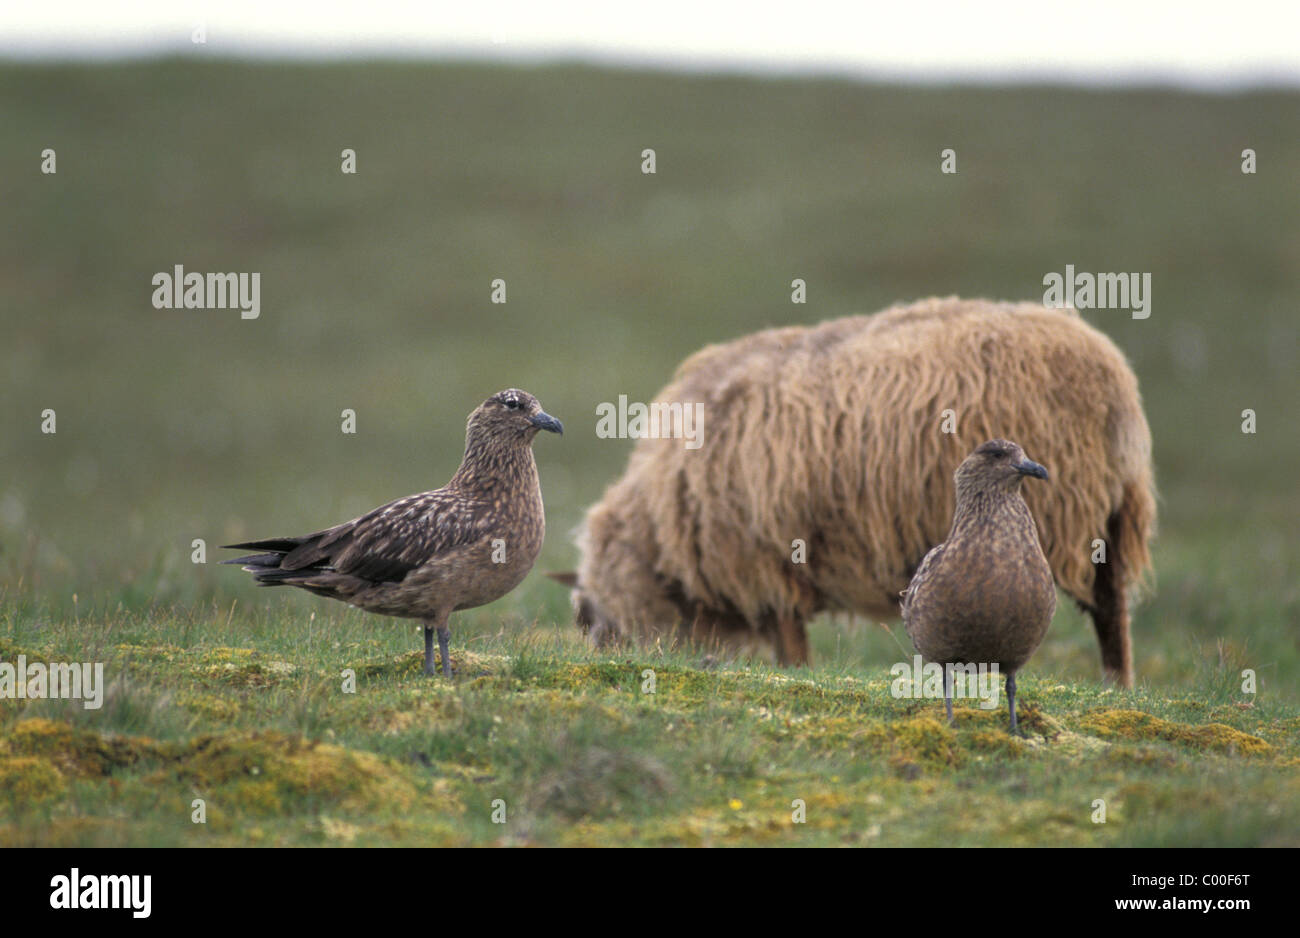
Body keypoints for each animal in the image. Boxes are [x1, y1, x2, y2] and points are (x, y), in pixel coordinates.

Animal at [553, 297, 1156, 687]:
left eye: (590, 621)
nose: (606, 663)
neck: (658, 525)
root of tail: (1113, 376)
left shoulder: (765, 564)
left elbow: (791, 649)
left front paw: (798, 675)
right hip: (1113, 516)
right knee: (1114, 608)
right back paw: (1118, 686)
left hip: (1069, 512)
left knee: (1109, 614)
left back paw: (1115, 686)